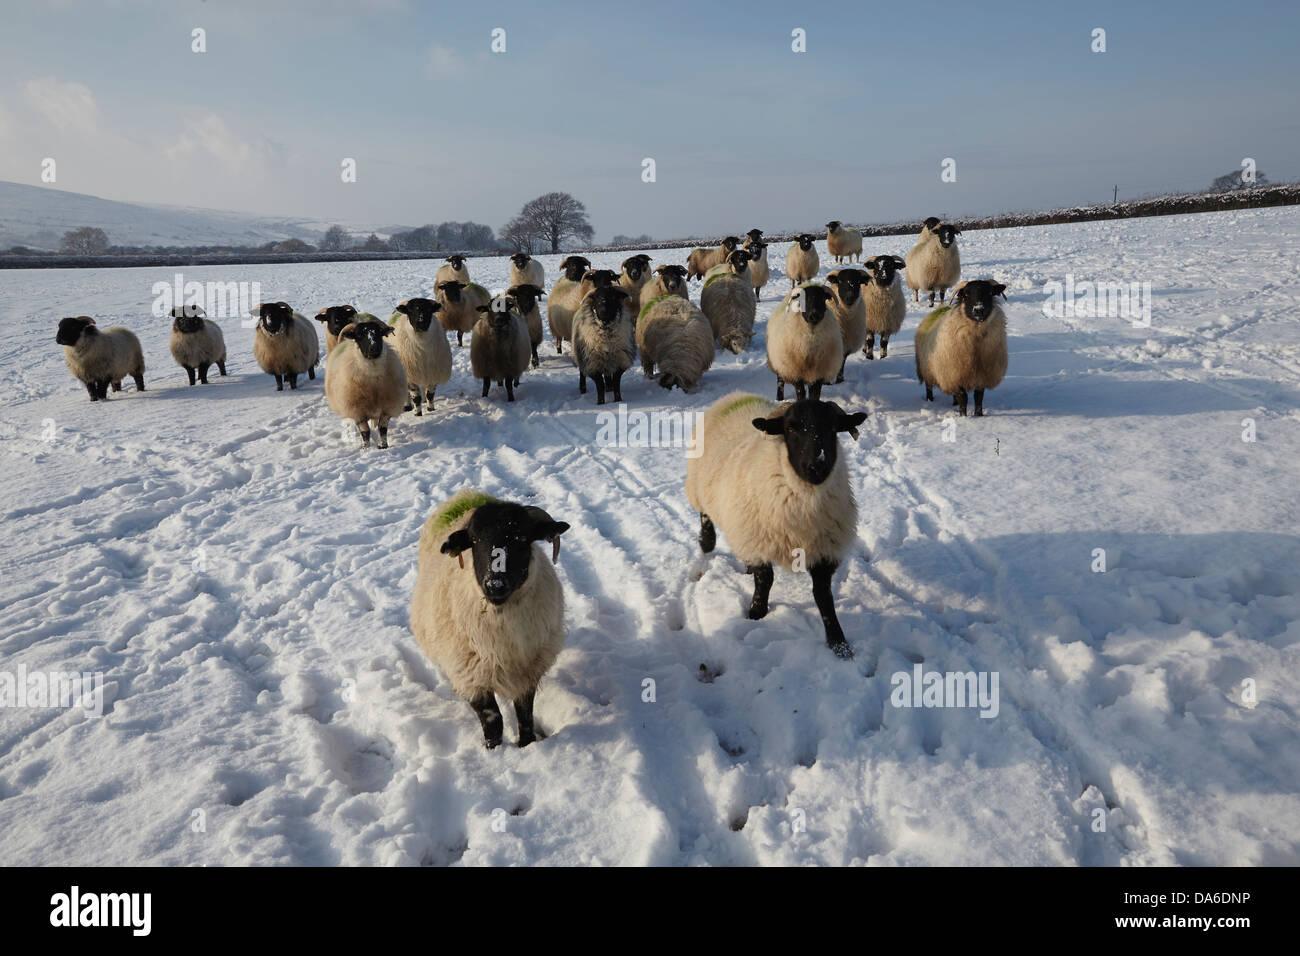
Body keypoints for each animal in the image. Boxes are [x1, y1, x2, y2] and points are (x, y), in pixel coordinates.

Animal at [324, 319, 408, 447]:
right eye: (359, 334)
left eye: (380, 333)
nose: (374, 348)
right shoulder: (357, 411)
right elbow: (365, 432)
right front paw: (366, 448)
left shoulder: (387, 407)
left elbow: (382, 429)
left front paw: (384, 446)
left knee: (374, 422)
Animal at [409, 489, 570, 749]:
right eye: (474, 541)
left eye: (522, 538)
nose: (495, 584)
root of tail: (466, 493)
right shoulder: (471, 678)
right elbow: (494, 720)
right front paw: (493, 750)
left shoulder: (528, 671)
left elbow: (525, 715)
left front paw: (527, 745)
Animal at [684, 392, 867, 658]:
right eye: (790, 428)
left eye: (834, 428)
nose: (817, 465)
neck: (806, 502)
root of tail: (735, 395)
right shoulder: (757, 539)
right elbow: (765, 580)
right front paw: (756, 613)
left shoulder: (825, 549)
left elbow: (823, 596)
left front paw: (839, 644)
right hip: (700, 488)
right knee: (705, 516)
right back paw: (707, 542)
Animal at [914, 279, 1008, 417]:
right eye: (966, 294)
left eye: (990, 293)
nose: (978, 310)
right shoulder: (955, 374)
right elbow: (963, 398)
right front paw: (963, 416)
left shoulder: (981, 376)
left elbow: (978, 398)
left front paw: (978, 415)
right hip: (927, 368)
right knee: (929, 387)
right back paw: (930, 400)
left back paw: (954, 404)